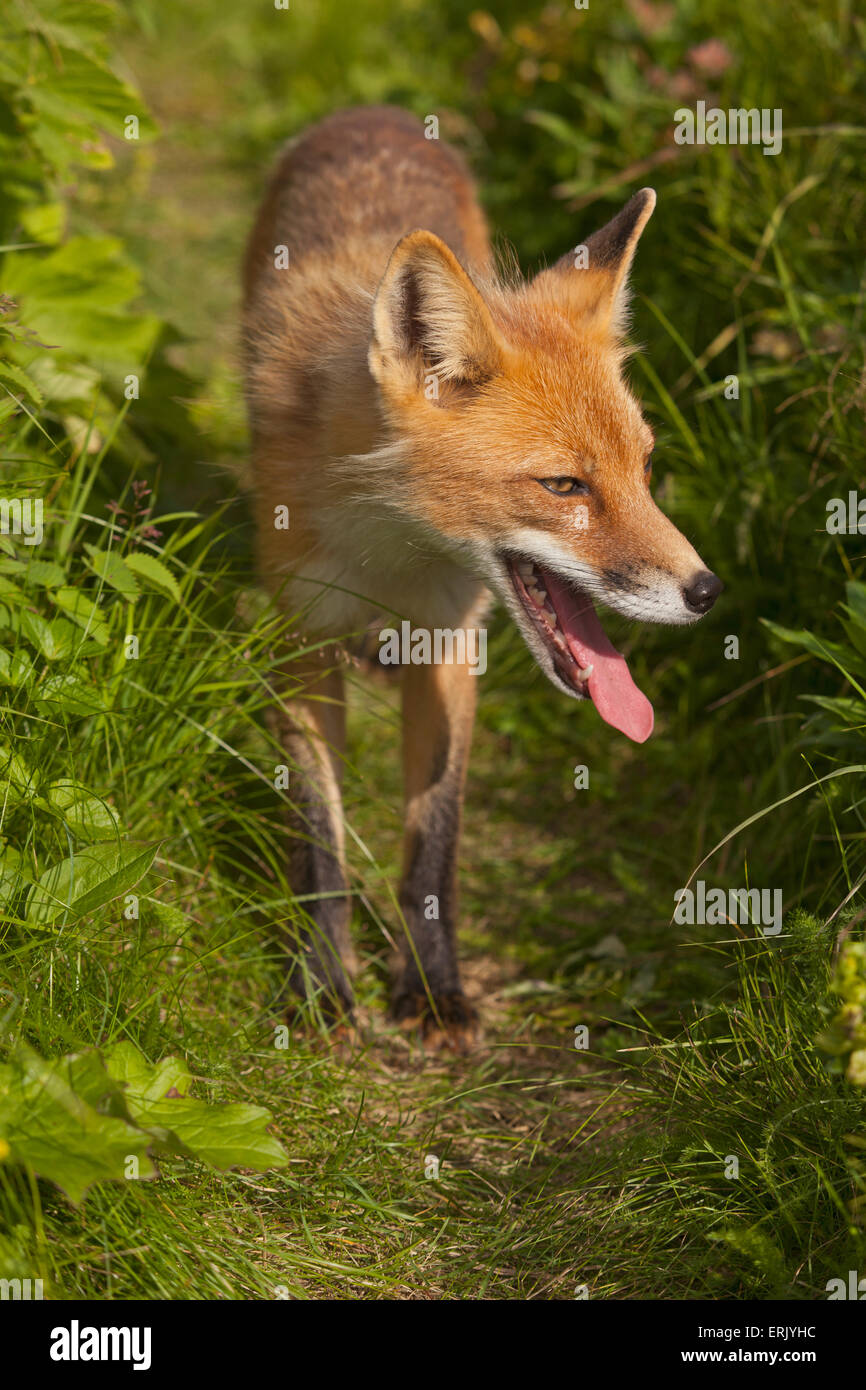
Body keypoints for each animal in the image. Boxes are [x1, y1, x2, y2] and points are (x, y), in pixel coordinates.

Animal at [242, 105, 721, 1049]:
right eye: (566, 486)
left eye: (645, 468)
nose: (706, 591)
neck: (393, 553)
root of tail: (374, 112)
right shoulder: (300, 642)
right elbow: (319, 839)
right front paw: (322, 985)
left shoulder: (452, 644)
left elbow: (435, 839)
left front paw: (432, 990)